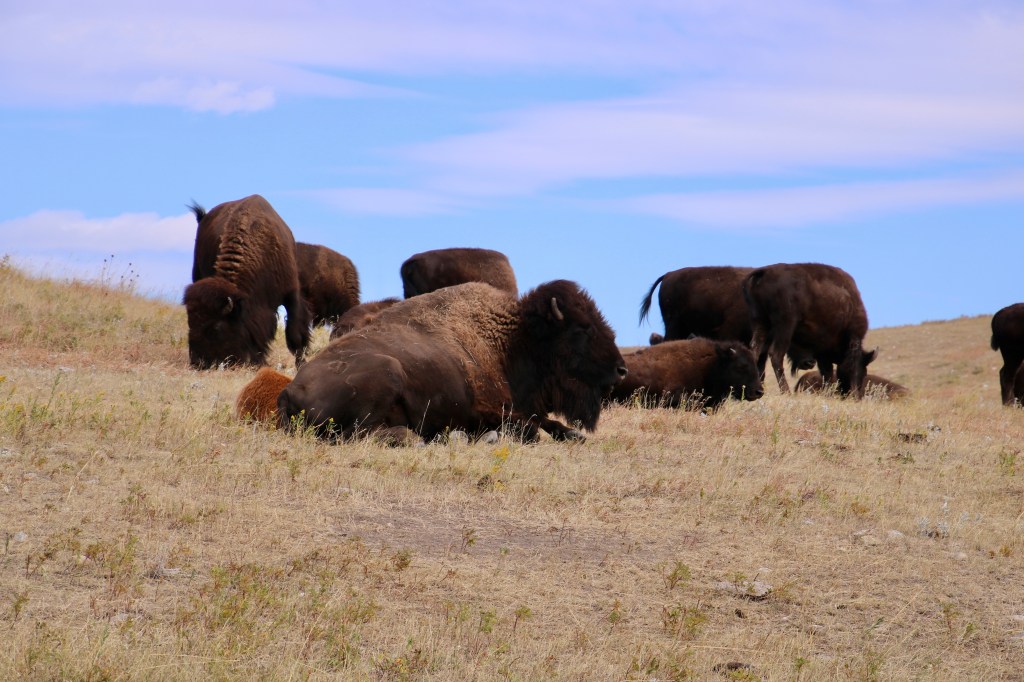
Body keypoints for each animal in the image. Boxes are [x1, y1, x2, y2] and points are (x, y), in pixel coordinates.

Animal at [185, 195, 311, 368]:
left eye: (216, 328)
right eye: (189, 322)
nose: (198, 363)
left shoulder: (291, 294)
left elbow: (295, 333)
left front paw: (301, 364)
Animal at [277, 280, 627, 443]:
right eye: (582, 330)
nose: (621, 370)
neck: (512, 342)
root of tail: (290, 390)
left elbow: (544, 421)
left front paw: (574, 434)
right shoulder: (490, 410)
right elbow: (528, 428)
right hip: (389, 371)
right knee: (362, 434)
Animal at [743, 263, 876, 397]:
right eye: (863, 371)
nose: (857, 395)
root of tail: (764, 272)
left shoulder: (822, 351)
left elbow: (827, 373)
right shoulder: (851, 338)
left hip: (760, 322)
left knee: (754, 350)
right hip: (785, 325)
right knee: (776, 354)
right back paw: (786, 391)